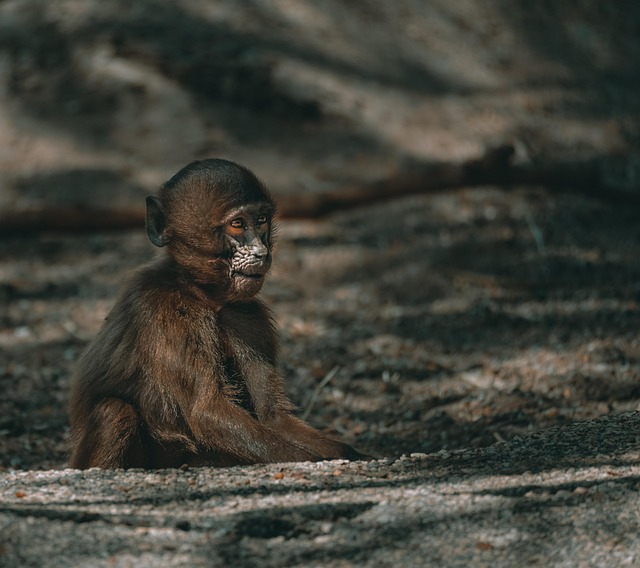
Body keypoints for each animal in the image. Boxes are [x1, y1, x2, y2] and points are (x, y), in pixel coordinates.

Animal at [68, 159, 367, 469]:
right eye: (237, 225)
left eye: (262, 220)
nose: (262, 253)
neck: (199, 292)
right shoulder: (166, 310)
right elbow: (206, 411)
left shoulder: (246, 316)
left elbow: (272, 417)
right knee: (114, 411)